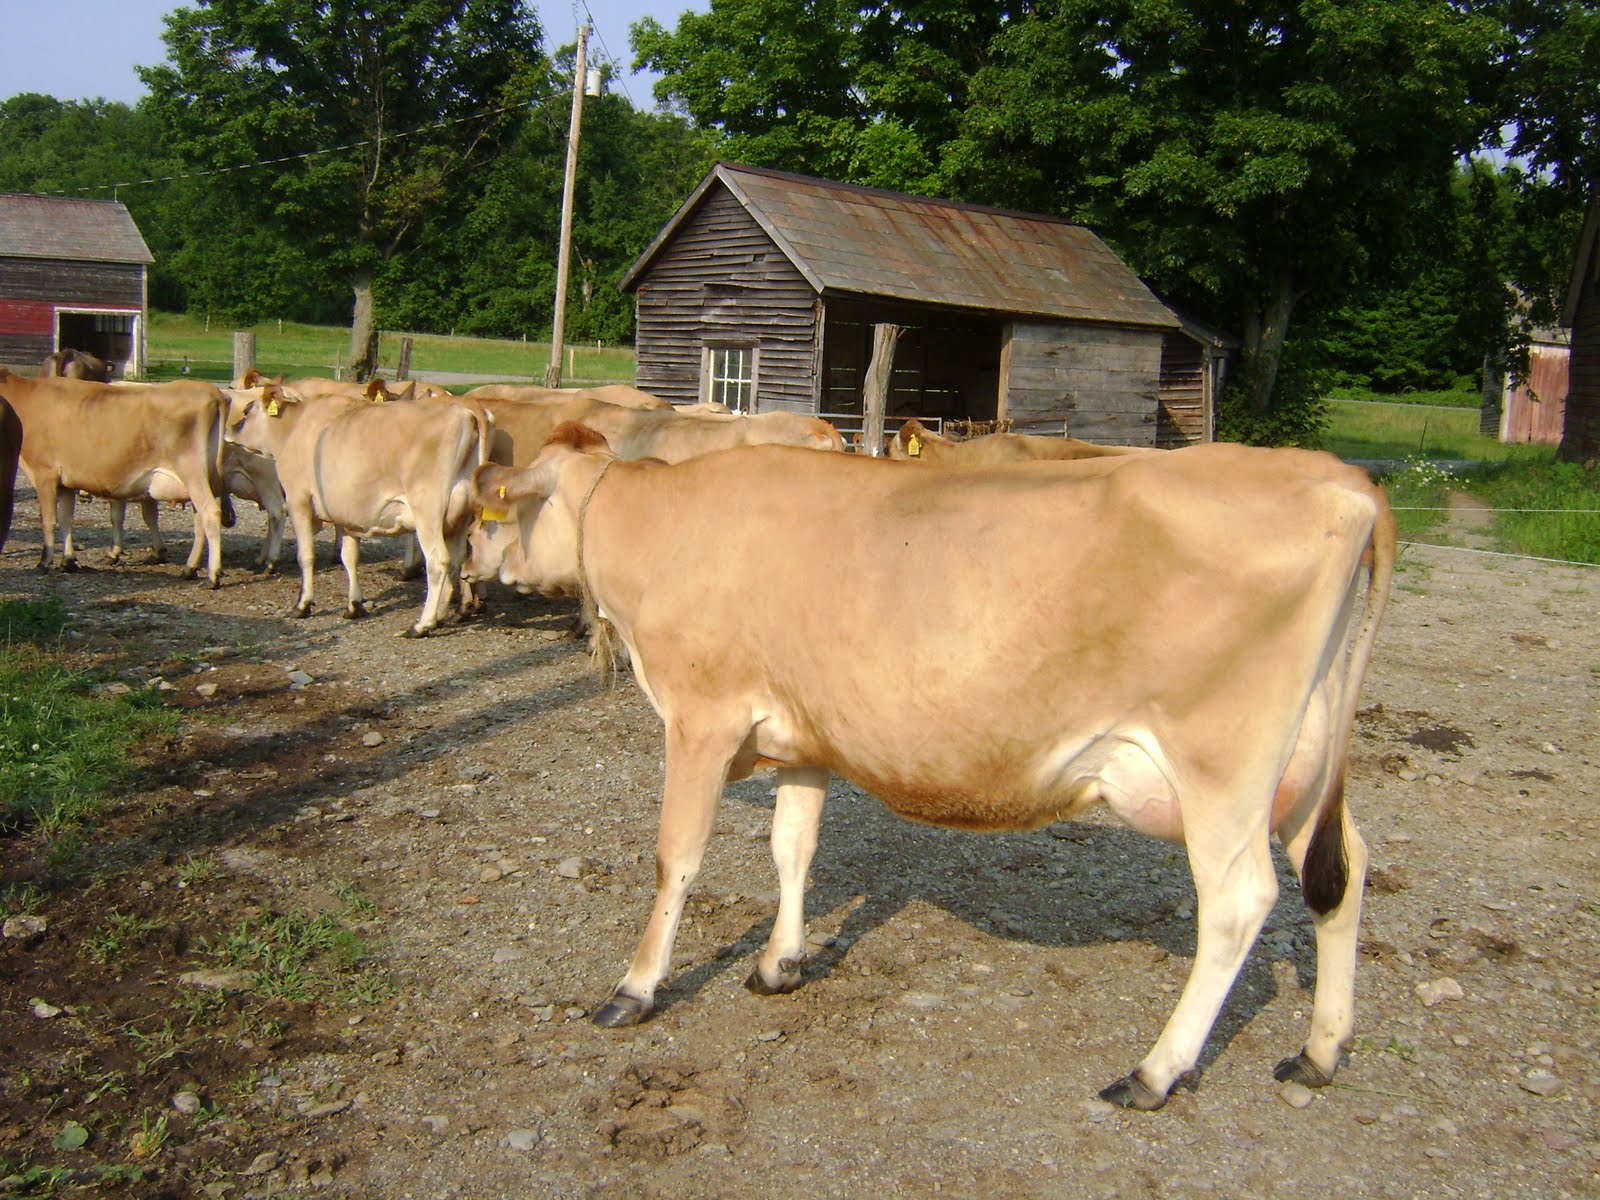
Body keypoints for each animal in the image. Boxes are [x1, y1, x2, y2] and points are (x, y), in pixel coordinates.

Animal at [0, 370, 227, 586]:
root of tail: (210, 390)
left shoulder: (44, 474)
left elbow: (48, 520)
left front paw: (44, 562)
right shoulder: (66, 482)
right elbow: (66, 519)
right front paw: (68, 560)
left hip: (192, 473)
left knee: (210, 512)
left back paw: (212, 576)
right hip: (201, 478)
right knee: (199, 520)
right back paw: (190, 568)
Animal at [228, 389, 489, 636]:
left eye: (248, 410)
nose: (229, 430)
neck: (295, 427)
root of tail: (466, 413)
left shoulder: (298, 500)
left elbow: (306, 555)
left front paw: (302, 605)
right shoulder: (346, 514)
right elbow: (349, 557)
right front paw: (354, 605)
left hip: (428, 512)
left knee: (438, 561)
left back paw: (423, 625)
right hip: (459, 517)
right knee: (457, 560)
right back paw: (442, 615)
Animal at [466, 424, 1396, 1110]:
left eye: (489, 516)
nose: (474, 566)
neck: (661, 530)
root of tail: (1336, 479)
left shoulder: (701, 717)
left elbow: (677, 858)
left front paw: (636, 987)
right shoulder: (806, 734)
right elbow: (792, 848)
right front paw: (780, 964)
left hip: (1221, 766)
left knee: (1239, 902)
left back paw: (1155, 1071)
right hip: (1303, 764)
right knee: (1342, 874)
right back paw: (1320, 1050)